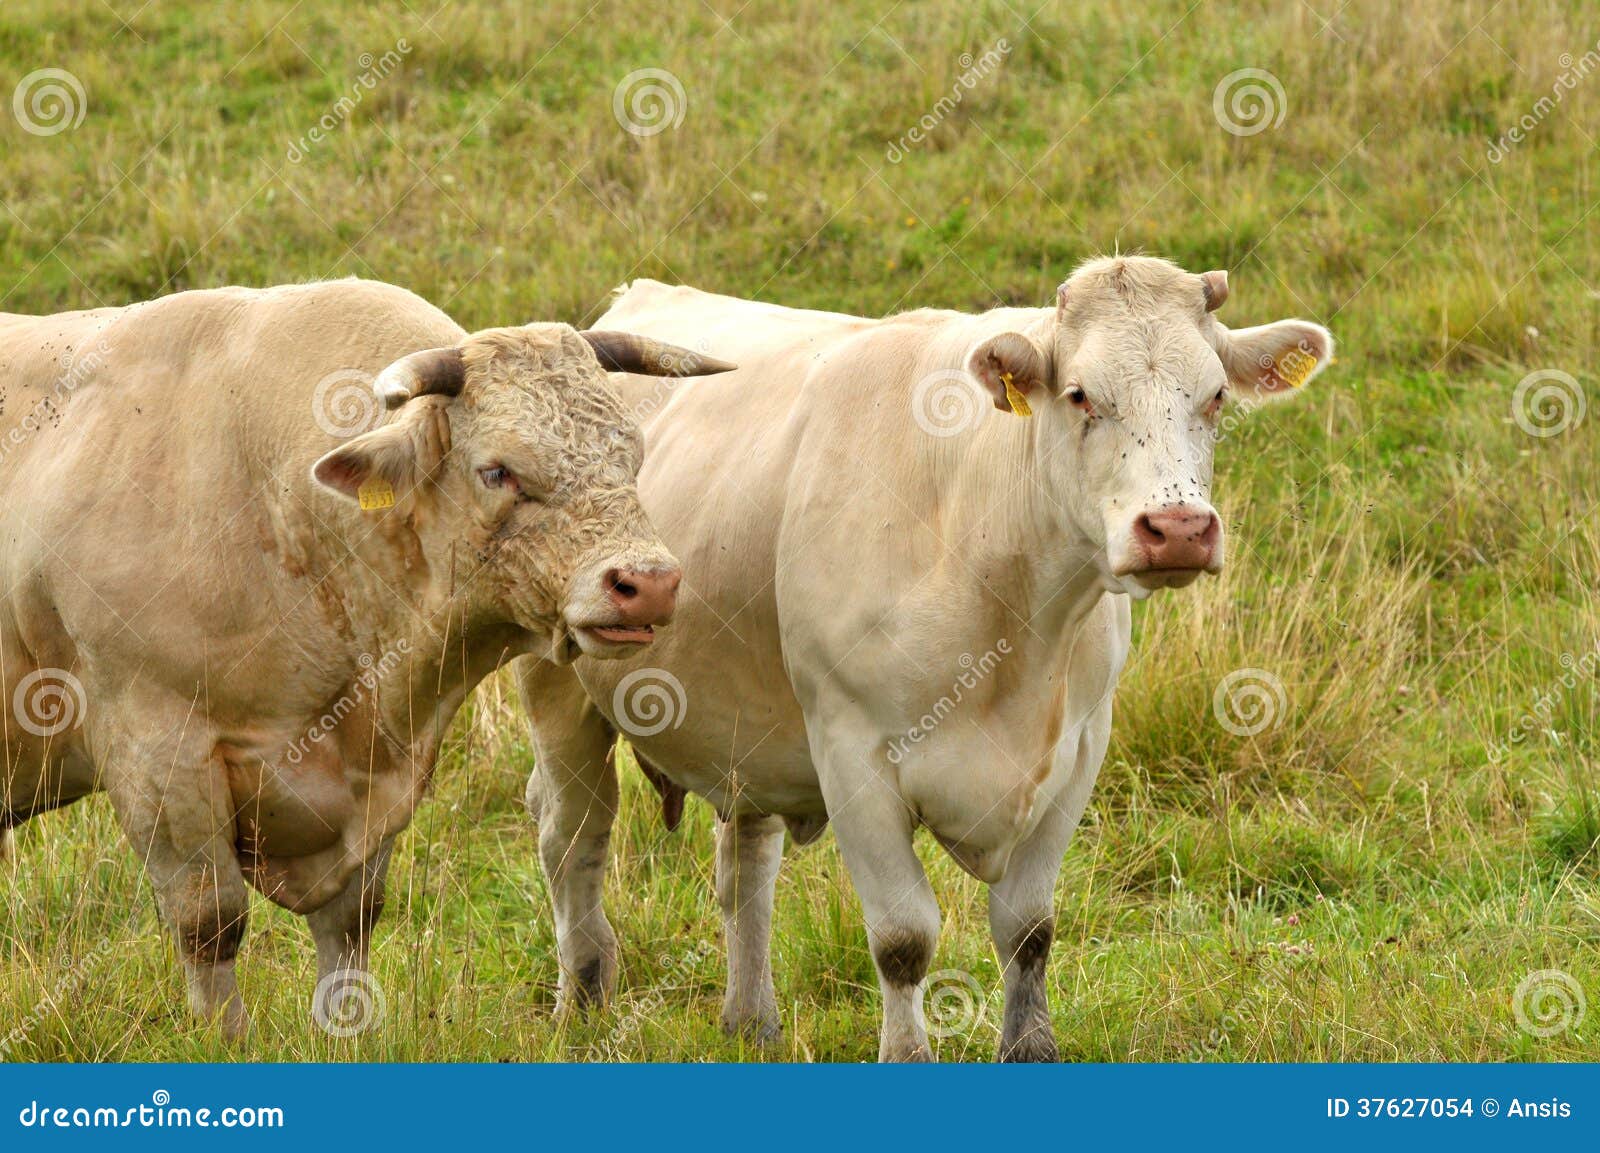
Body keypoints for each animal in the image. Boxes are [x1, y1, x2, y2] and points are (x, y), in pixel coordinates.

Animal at [0, 279, 732, 1038]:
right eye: (497, 471)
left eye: (632, 457)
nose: (648, 581)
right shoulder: (157, 748)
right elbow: (210, 921)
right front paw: (223, 1039)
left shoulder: (379, 770)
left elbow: (350, 921)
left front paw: (343, 1028)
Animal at [518, 255, 1332, 1061]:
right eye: (1079, 395)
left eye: (1216, 395)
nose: (1178, 528)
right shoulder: (851, 751)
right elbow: (904, 940)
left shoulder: (1079, 749)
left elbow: (1029, 929)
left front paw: (1031, 1050)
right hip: (560, 689)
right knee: (570, 836)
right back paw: (580, 1000)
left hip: (746, 726)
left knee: (744, 861)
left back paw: (751, 1020)